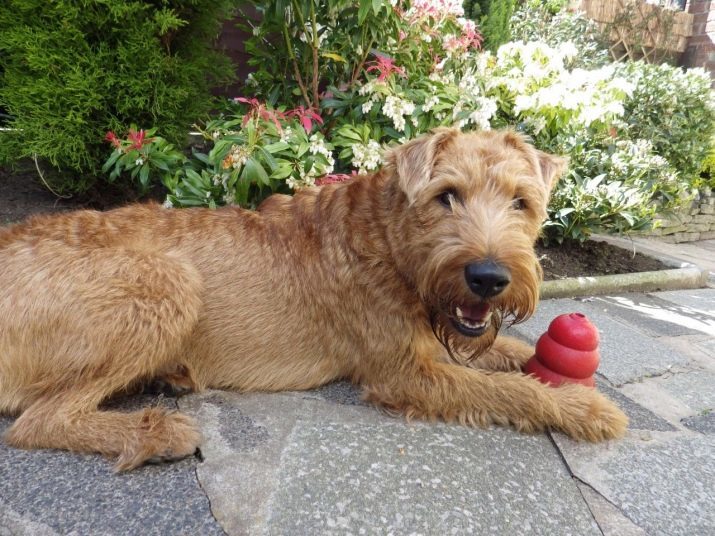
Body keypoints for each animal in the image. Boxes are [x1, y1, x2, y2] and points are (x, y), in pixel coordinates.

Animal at [0, 129, 628, 468]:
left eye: (521, 201)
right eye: (446, 196)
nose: (489, 278)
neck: (387, 238)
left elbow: (514, 355)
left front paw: (552, 372)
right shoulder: (403, 373)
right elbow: (507, 390)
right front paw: (585, 409)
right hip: (167, 283)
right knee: (39, 420)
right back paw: (156, 432)